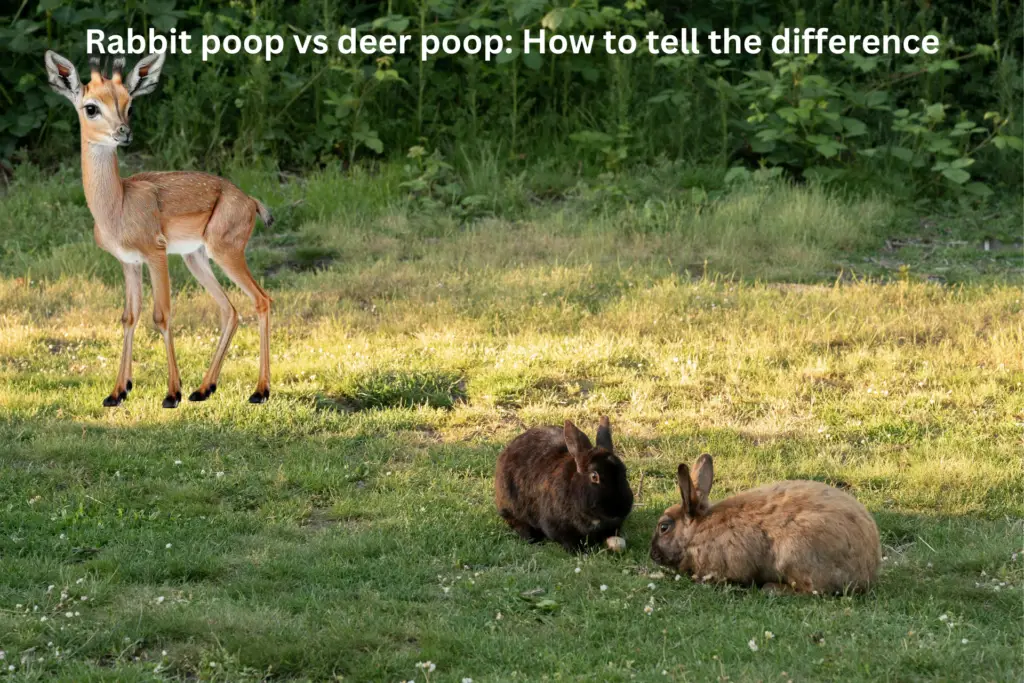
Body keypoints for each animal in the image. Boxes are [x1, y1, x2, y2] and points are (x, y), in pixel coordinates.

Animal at [44, 50, 273, 408]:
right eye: (91, 107)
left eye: (129, 103)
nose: (123, 132)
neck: (117, 205)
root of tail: (250, 200)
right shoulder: (128, 262)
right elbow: (129, 316)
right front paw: (117, 392)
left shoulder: (156, 253)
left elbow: (161, 315)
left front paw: (171, 394)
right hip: (196, 258)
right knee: (230, 309)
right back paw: (203, 389)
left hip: (226, 253)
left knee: (262, 300)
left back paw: (259, 391)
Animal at [495, 416, 634, 553]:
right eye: (594, 477)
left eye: (624, 471)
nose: (620, 510)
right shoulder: (558, 529)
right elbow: (569, 542)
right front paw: (582, 552)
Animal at [649, 454, 881, 594]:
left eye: (664, 527)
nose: (652, 555)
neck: (697, 531)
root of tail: (867, 570)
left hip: (794, 556)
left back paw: (771, 589)